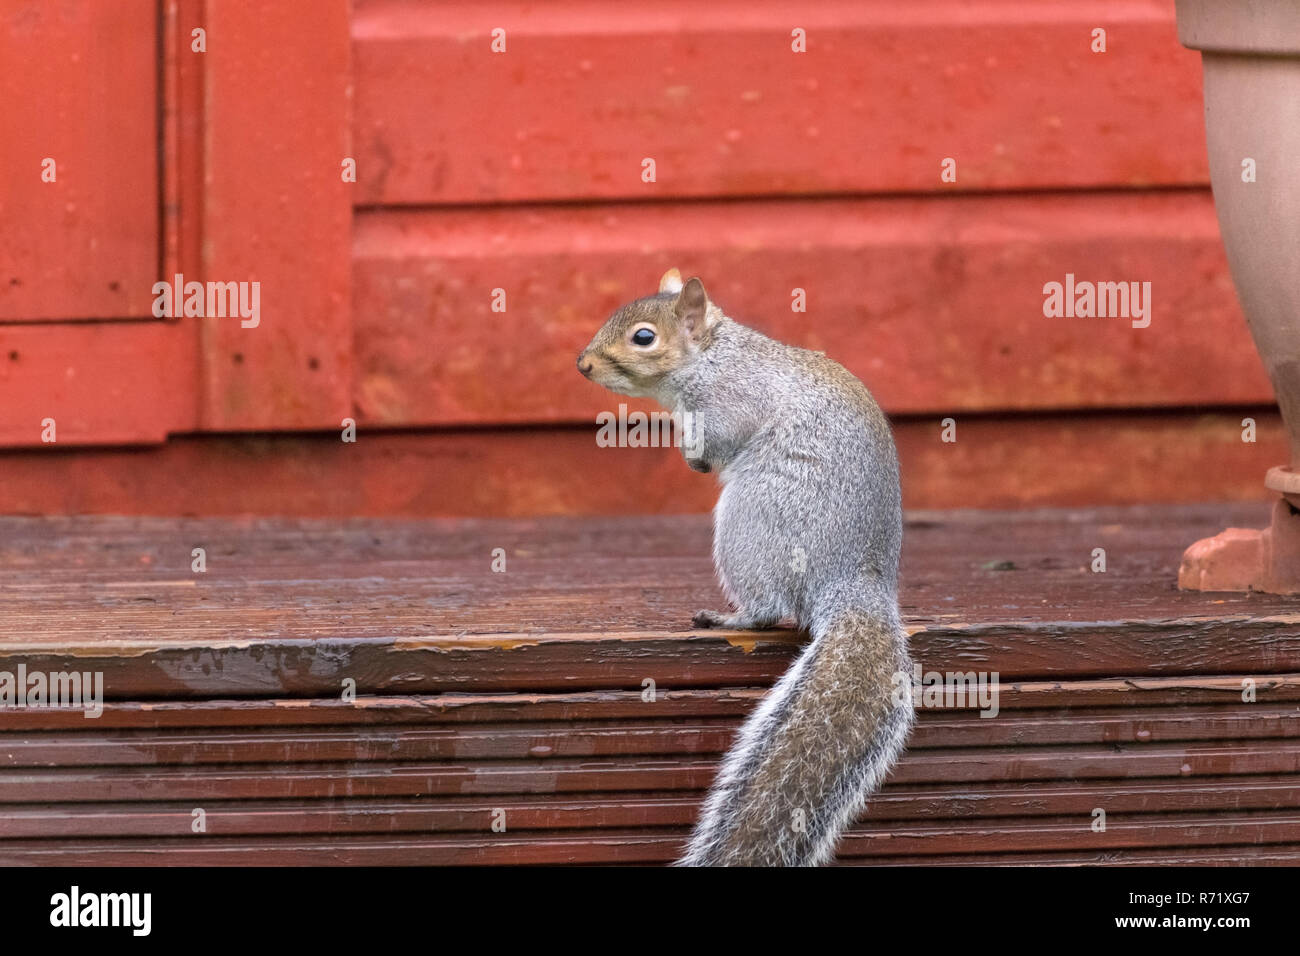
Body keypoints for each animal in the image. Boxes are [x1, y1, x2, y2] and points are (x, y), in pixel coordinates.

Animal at [577, 269, 915, 866]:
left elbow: (718, 438)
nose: (584, 364)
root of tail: (856, 583)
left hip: (753, 521)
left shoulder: (732, 403)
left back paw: (730, 617)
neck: (711, 356)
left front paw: (693, 456)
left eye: (644, 337)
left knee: (769, 609)